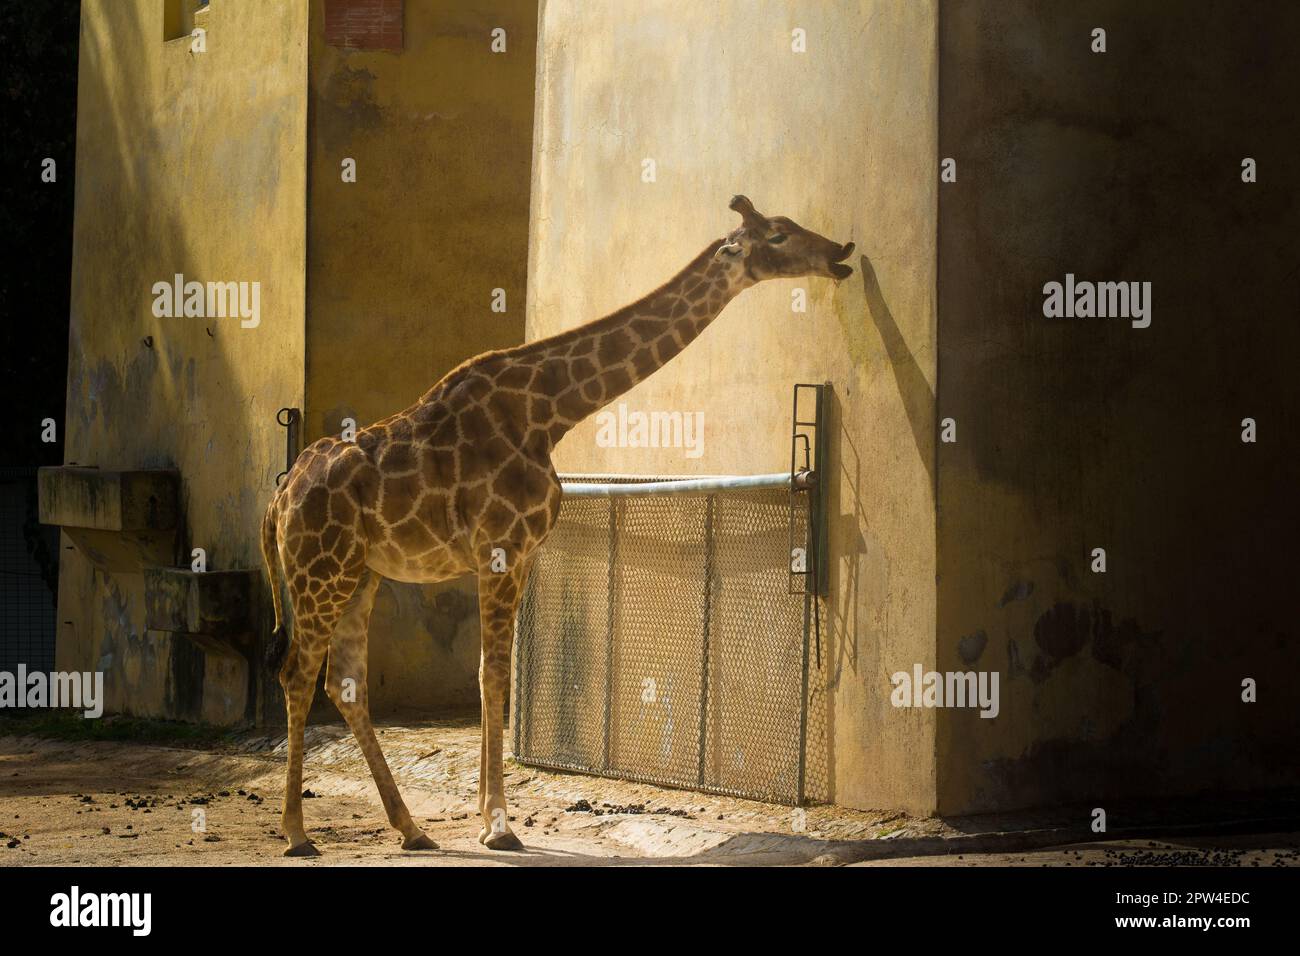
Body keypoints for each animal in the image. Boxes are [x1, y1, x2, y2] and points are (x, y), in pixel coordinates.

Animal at [260, 195, 854, 856]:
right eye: (776, 236)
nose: (841, 252)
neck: (550, 410)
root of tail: (279, 497)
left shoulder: (520, 553)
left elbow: (492, 674)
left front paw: (485, 819)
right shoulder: (500, 545)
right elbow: (495, 675)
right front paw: (499, 825)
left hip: (359, 573)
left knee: (344, 682)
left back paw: (411, 829)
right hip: (320, 571)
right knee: (296, 672)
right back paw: (296, 834)